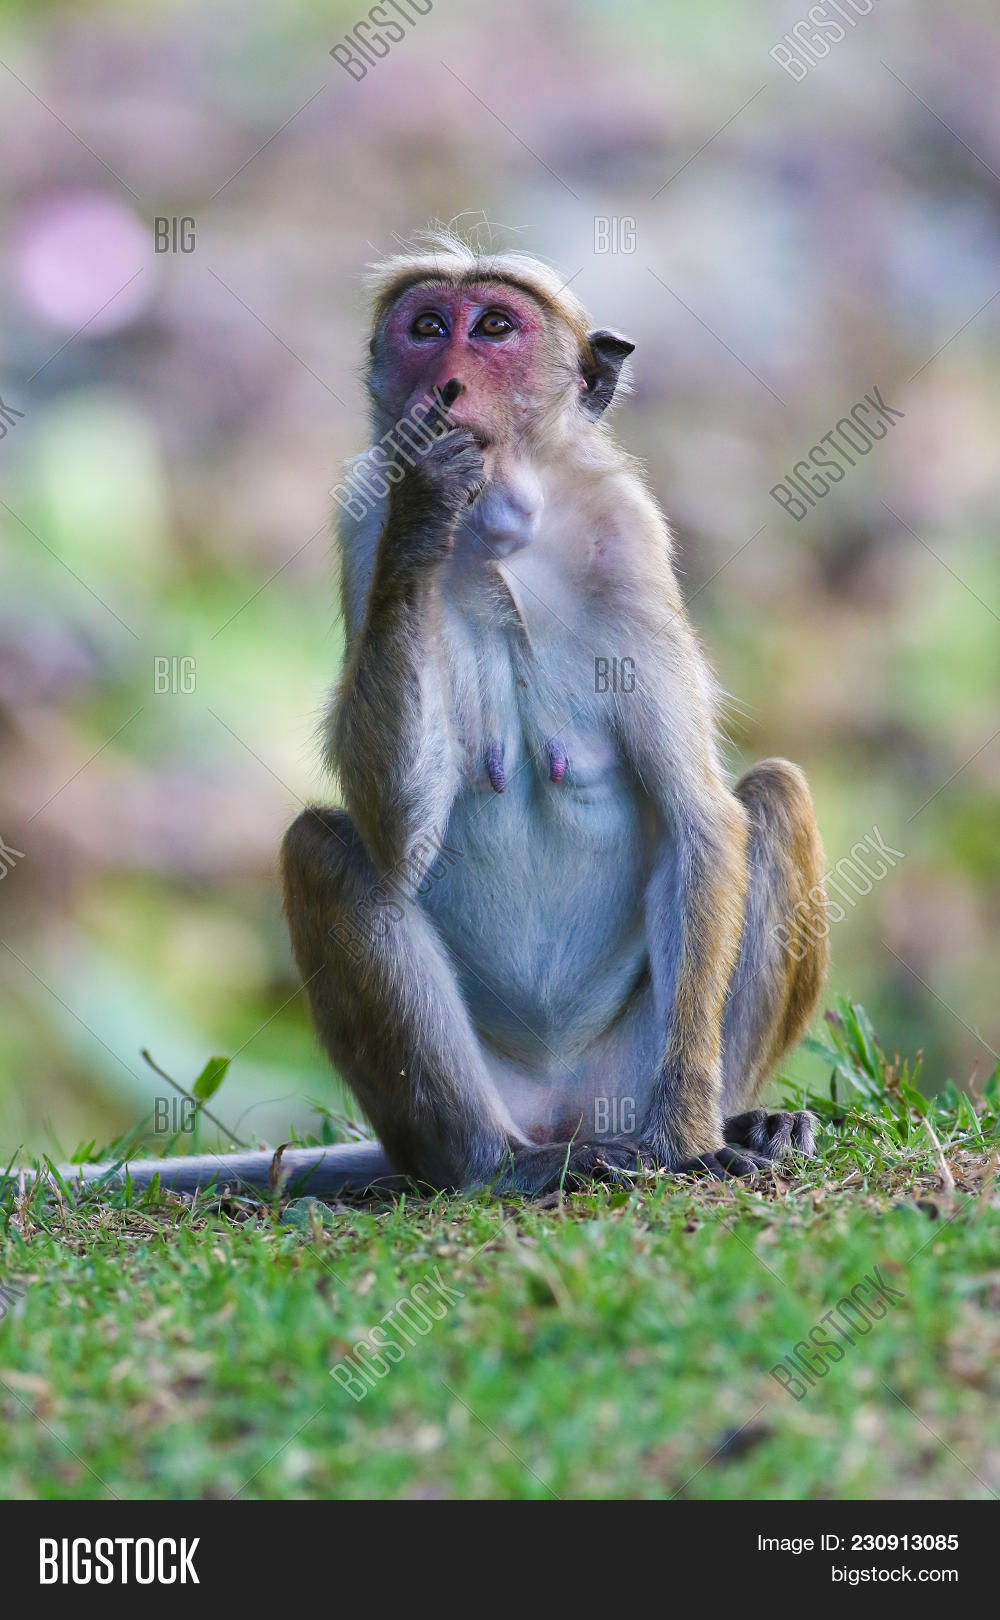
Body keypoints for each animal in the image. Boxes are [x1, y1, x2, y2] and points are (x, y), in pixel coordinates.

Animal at [35, 234, 827, 1203]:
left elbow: (698, 818)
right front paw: (423, 505)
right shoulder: (359, 519)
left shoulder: (630, 543)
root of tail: (563, 1112)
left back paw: (736, 1122)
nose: (443, 379)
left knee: (775, 795)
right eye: (425, 327)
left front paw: (687, 1138)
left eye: (492, 328)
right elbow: (398, 836)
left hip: (627, 1074)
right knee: (322, 848)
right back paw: (494, 1165)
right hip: (461, 1108)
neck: (503, 528)